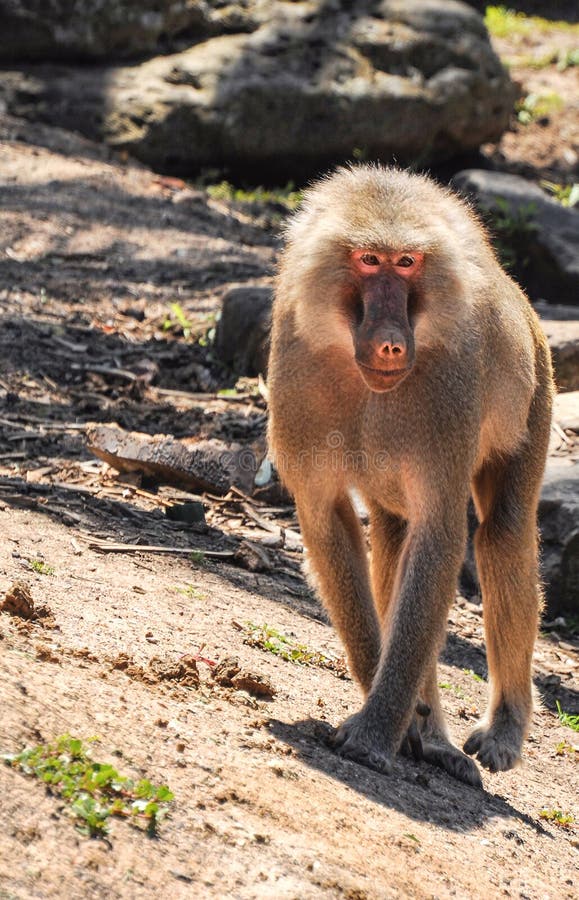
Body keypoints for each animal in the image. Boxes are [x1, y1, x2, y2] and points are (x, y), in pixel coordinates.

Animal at [267, 164, 554, 788]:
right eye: (369, 259)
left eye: (407, 263)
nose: (391, 342)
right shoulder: (297, 367)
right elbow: (328, 520)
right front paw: (400, 724)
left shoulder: (448, 394)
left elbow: (440, 535)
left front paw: (376, 735)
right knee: (393, 544)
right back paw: (431, 729)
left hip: (537, 384)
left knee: (501, 536)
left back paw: (502, 731)